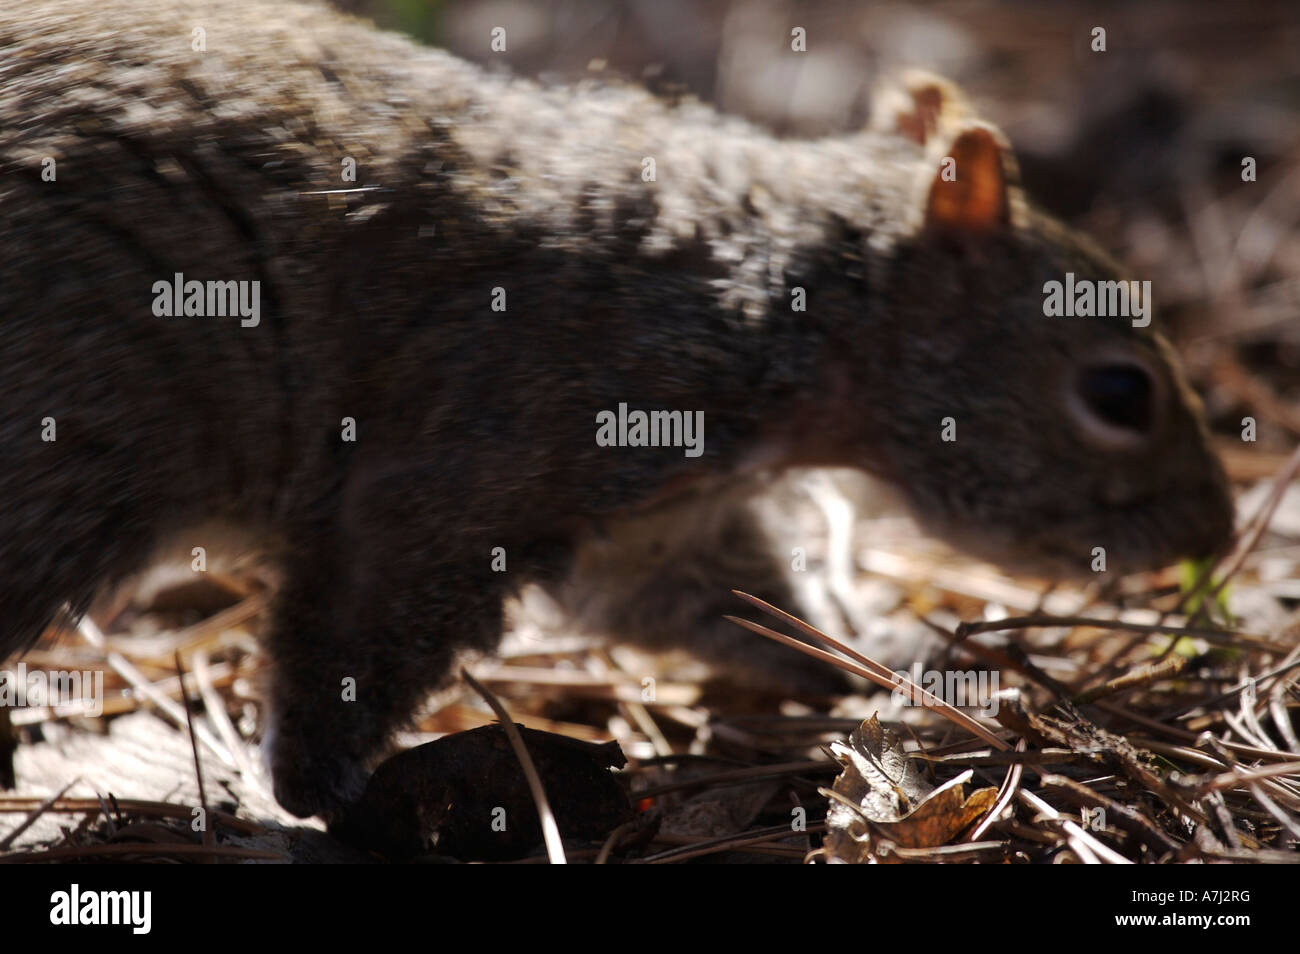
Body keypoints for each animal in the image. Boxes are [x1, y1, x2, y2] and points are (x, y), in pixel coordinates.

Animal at [0, 0, 1234, 821]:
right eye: (1118, 391)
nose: (1213, 535)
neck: (794, 304)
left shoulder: (659, 517)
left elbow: (712, 603)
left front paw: (877, 655)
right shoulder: (484, 449)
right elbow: (362, 618)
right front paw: (322, 797)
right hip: (71, 439)